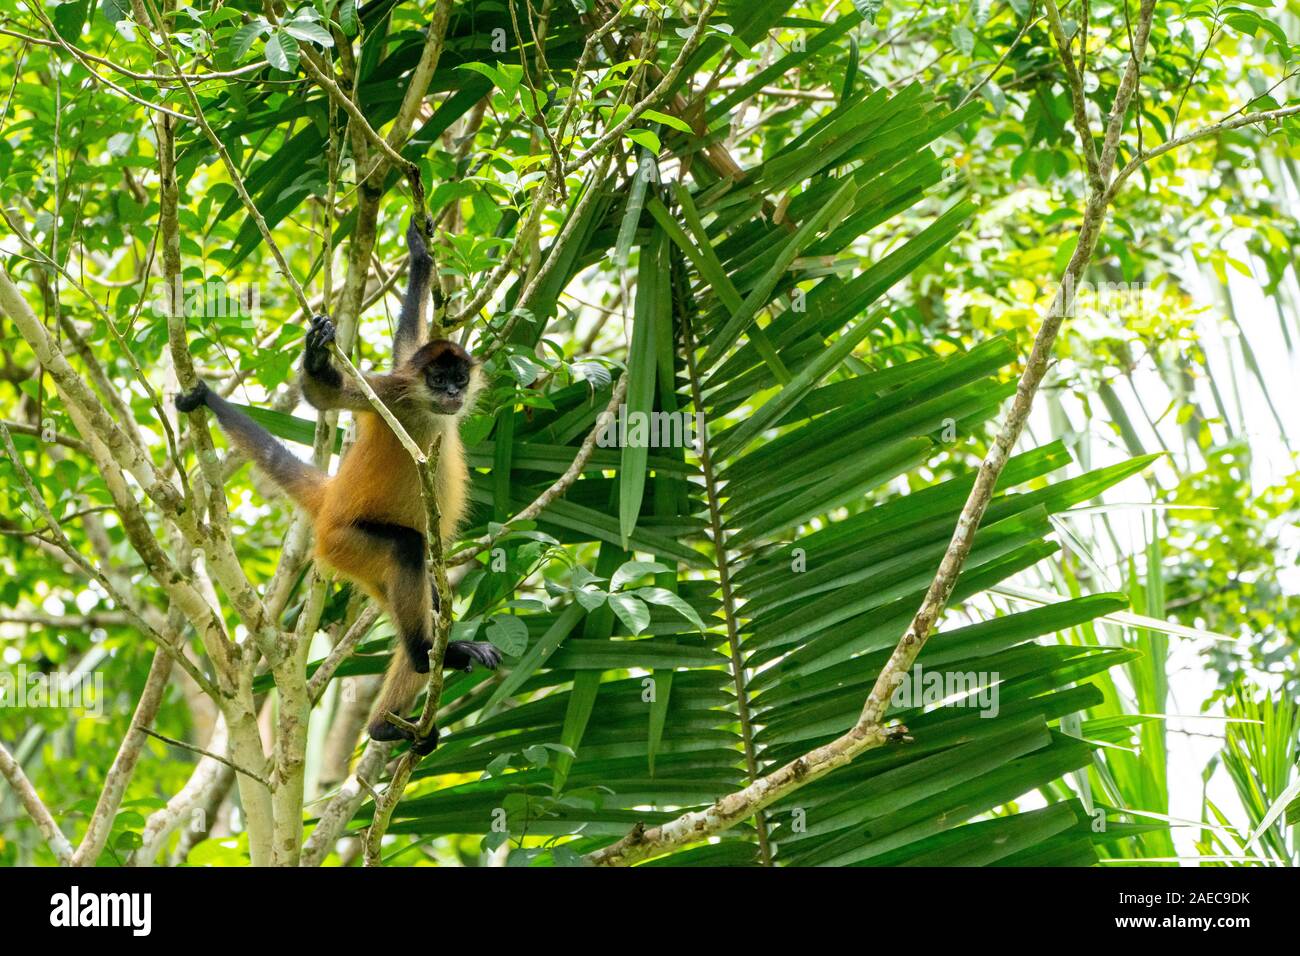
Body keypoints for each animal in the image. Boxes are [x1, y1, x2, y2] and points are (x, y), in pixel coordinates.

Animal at [176, 216, 500, 755]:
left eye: (458, 376)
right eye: (438, 380)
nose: (453, 392)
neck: (427, 410)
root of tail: (328, 501)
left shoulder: (404, 374)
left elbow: (407, 337)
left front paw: (420, 255)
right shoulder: (394, 393)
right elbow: (322, 395)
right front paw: (314, 356)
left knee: (429, 599)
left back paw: (386, 725)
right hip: (346, 543)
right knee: (409, 550)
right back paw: (426, 656)